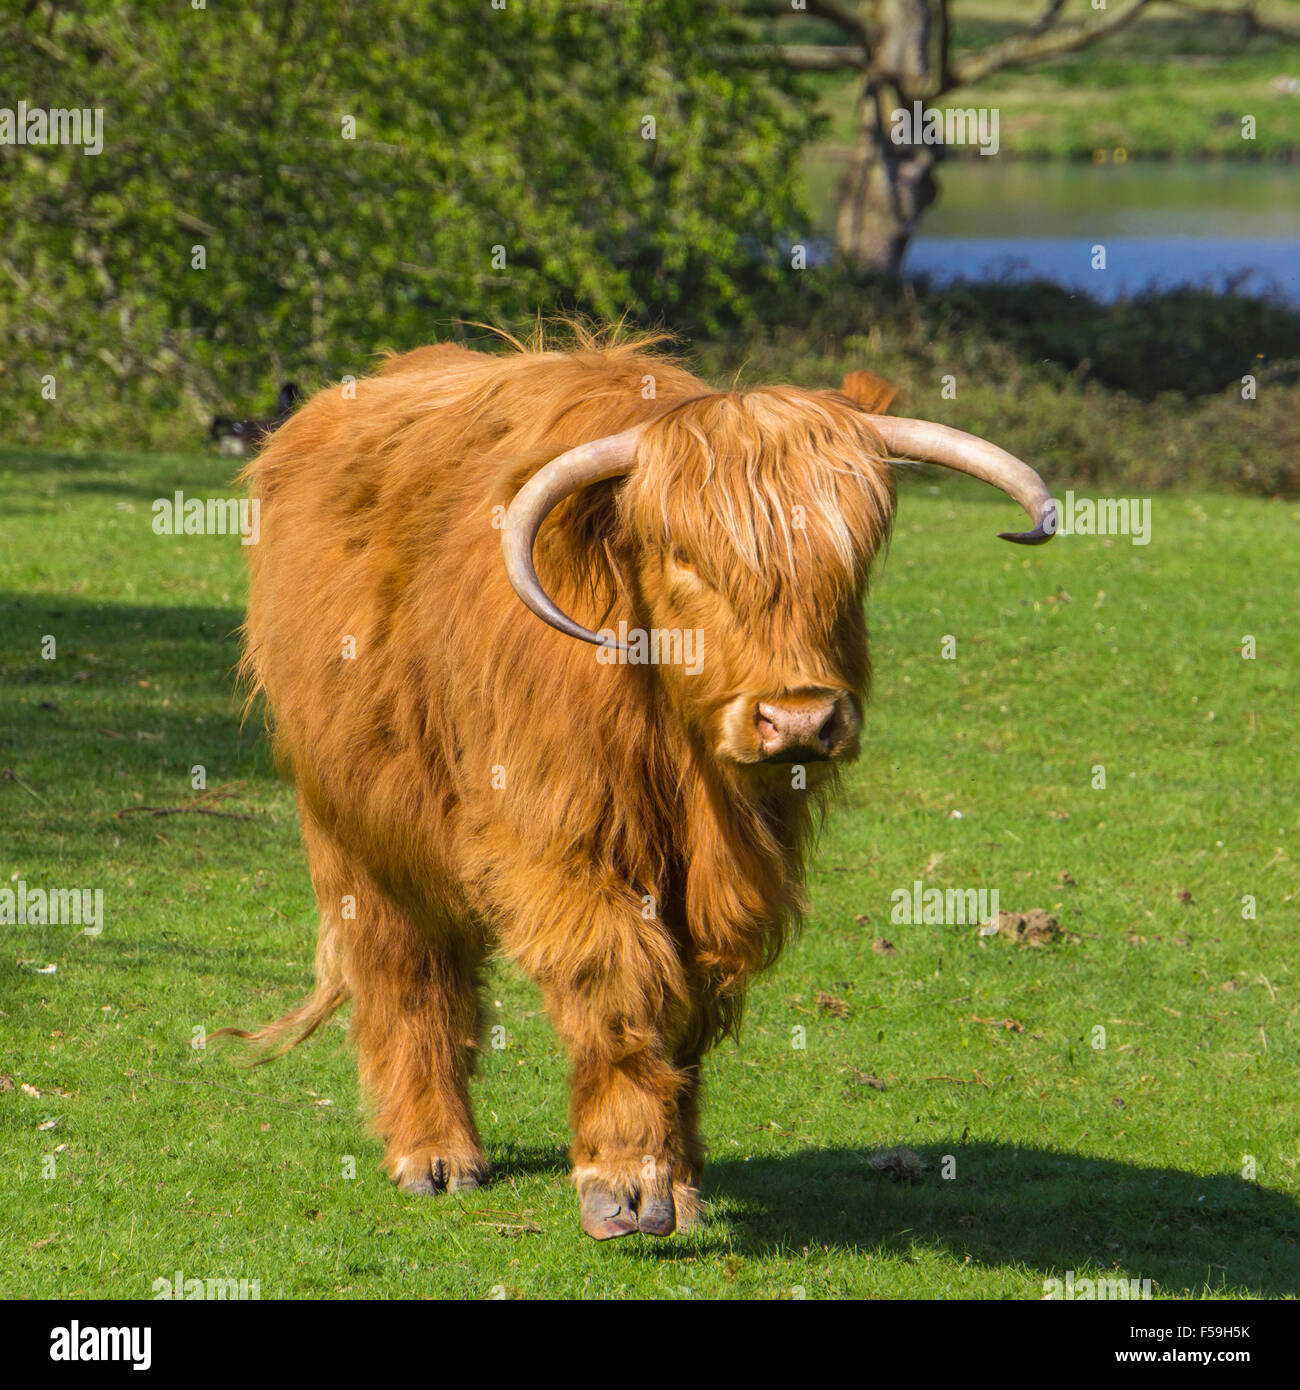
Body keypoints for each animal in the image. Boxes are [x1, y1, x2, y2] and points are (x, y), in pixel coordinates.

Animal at [222, 325, 1056, 1239]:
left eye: (851, 560)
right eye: (685, 559)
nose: (799, 720)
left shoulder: (725, 878)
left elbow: (684, 1005)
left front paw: (679, 1181)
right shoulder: (558, 836)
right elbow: (613, 977)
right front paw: (621, 1178)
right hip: (360, 825)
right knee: (407, 973)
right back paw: (434, 1155)